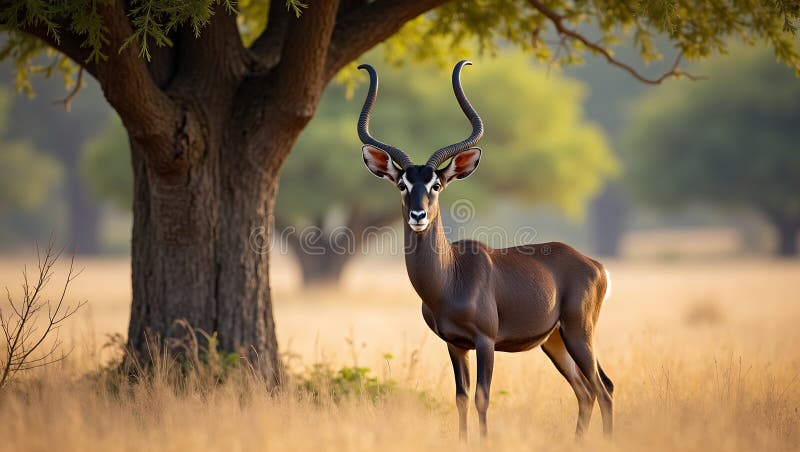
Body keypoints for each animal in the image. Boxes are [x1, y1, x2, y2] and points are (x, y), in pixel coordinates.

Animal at [357, 60, 614, 440]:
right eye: (402, 183)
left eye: (436, 184)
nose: (418, 215)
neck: (450, 277)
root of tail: (594, 265)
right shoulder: (454, 344)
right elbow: (462, 397)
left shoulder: (485, 341)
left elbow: (482, 397)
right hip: (554, 341)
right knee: (586, 391)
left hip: (578, 333)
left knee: (603, 388)